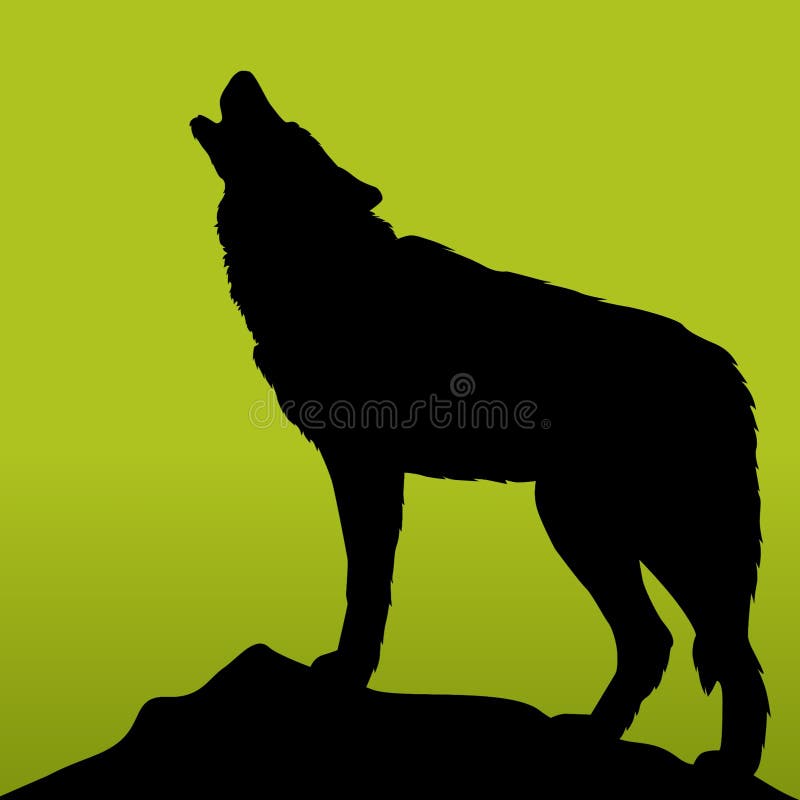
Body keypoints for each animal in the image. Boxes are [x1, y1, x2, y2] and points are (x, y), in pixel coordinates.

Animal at [190, 71, 769, 773]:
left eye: (288, 131)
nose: (244, 76)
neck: (330, 271)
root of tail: (728, 369)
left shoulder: (365, 467)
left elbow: (366, 585)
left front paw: (349, 673)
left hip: (628, 529)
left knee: (716, 648)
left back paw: (724, 764)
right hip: (601, 526)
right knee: (662, 641)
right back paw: (597, 732)